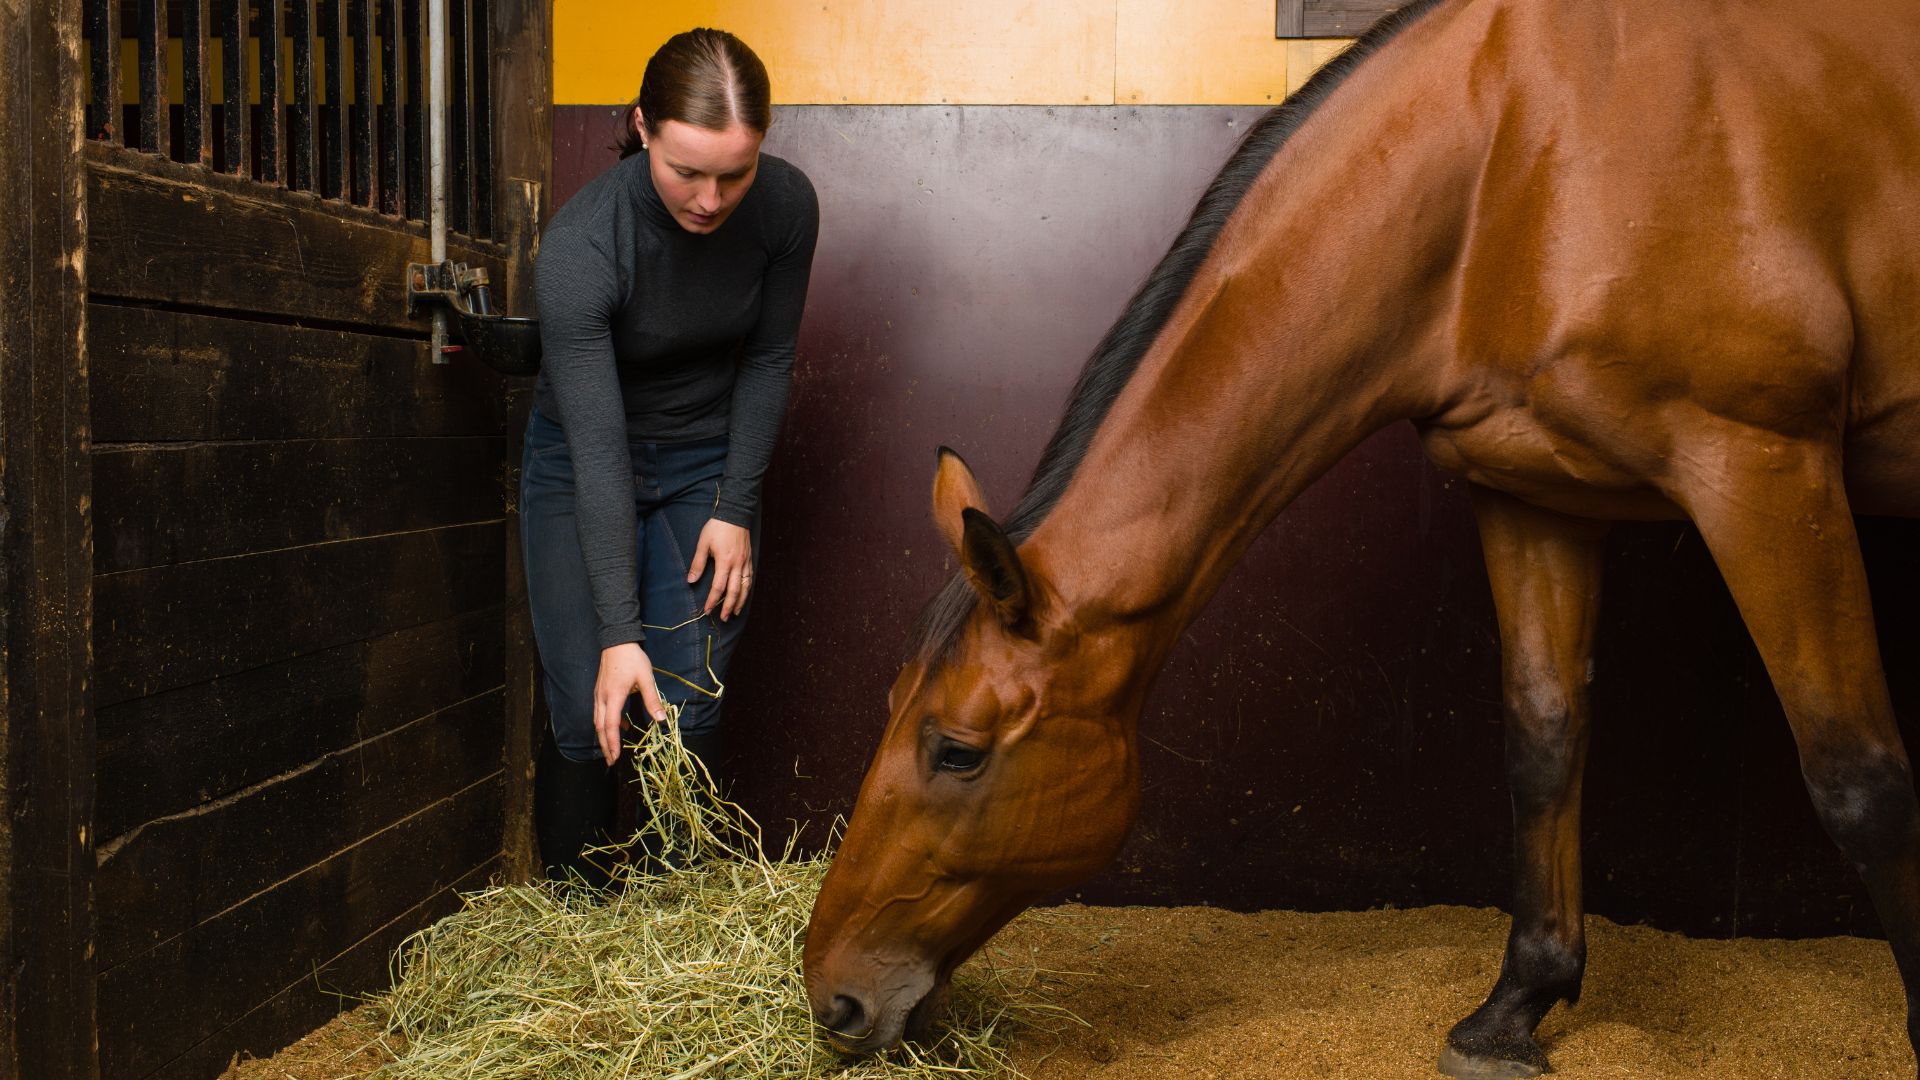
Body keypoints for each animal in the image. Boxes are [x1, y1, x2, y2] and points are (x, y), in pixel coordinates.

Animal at [802, 0, 1920, 1074]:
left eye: (955, 751)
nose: (834, 997)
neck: (1523, 154)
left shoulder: (1764, 467)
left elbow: (1861, 779)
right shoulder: (1535, 497)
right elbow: (1544, 738)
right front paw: (1515, 1009)